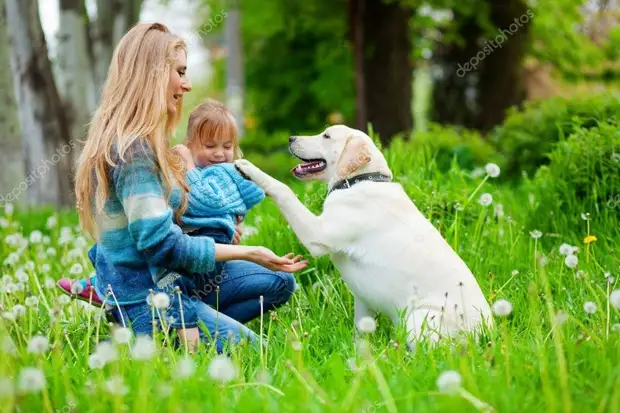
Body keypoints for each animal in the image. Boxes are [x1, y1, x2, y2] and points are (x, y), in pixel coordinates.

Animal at [235, 124, 492, 346]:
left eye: (326, 136)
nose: (290, 138)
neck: (358, 181)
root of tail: (487, 333)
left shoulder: (317, 234)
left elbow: (283, 189)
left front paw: (248, 168)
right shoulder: (363, 299)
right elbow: (361, 332)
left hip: (418, 318)